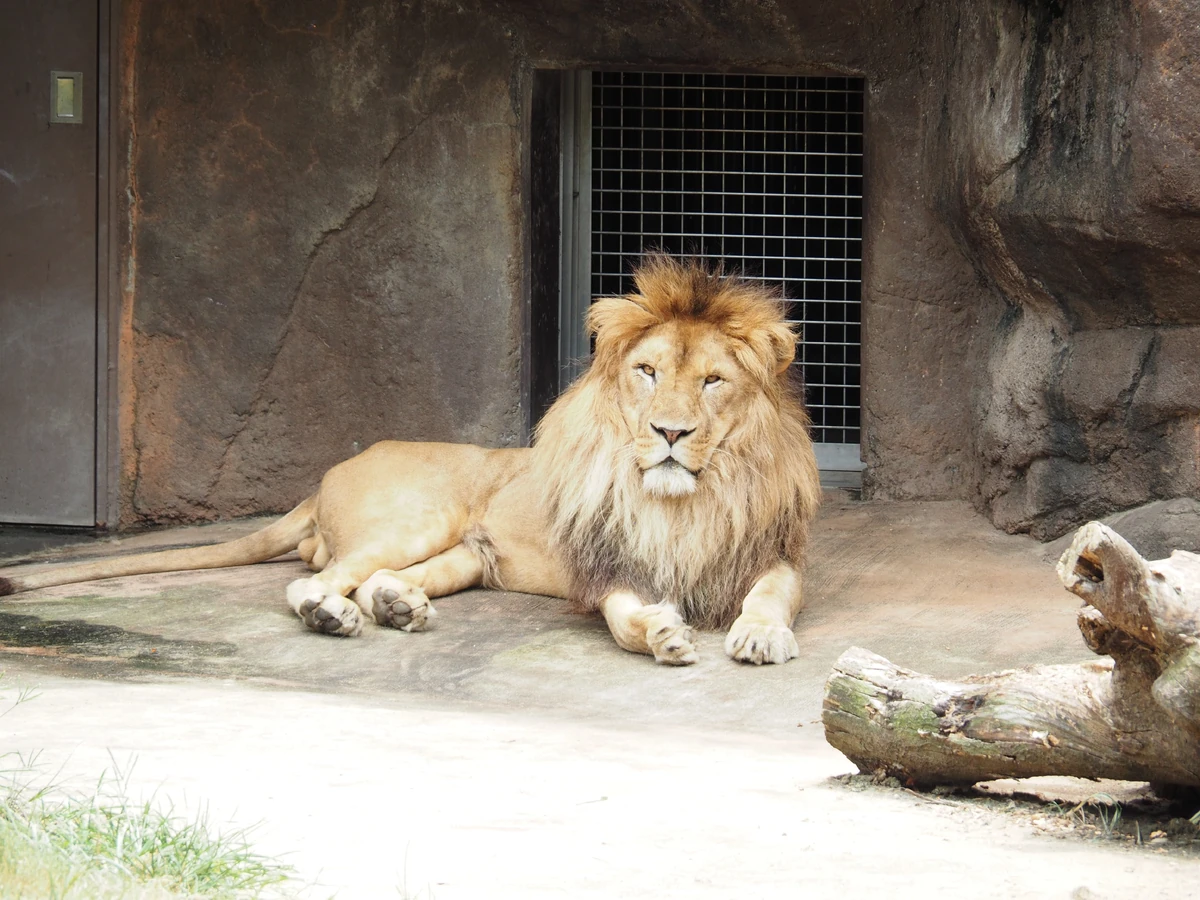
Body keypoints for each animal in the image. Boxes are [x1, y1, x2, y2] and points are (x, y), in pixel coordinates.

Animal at [0, 256, 821, 665]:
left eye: (712, 381)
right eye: (648, 372)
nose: (670, 433)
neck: (688, 499)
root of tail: (323, 477)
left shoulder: (772, 553)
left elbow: (770, 596)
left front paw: (758, 635)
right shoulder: (605, 567)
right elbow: (624, 615)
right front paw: (661, 633)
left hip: (462, 553)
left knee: (380, 581)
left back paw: (397, 606)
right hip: (418, 516)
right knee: (315, 581)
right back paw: (333, 616)